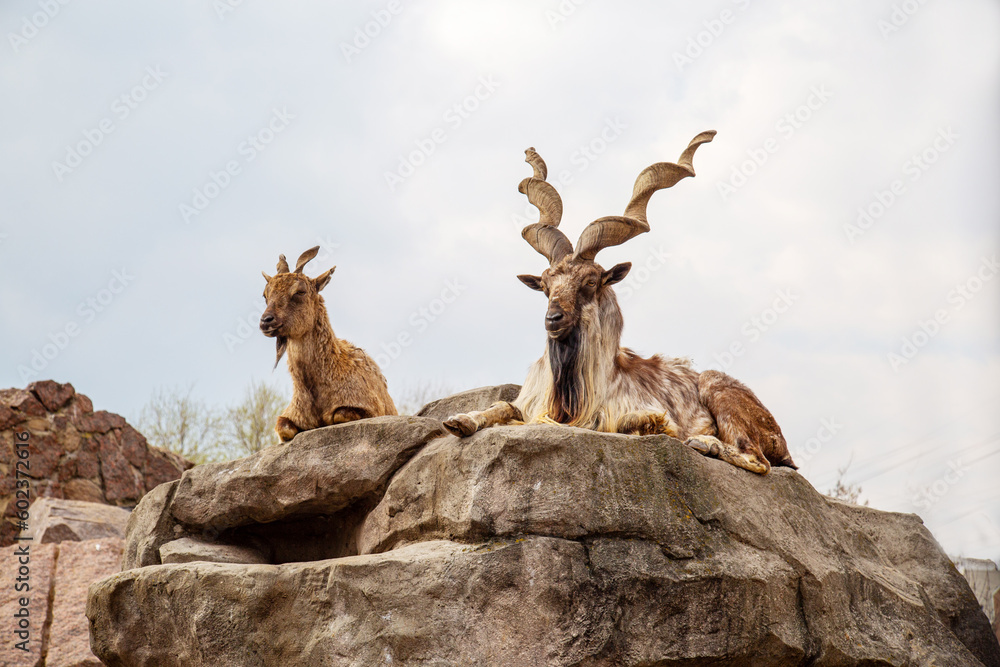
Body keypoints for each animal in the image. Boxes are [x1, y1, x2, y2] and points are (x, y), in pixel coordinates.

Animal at [259, 246, 397, 442]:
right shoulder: (290, 414)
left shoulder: (369, 408)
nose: (266, 321)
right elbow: (284, 427)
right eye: (265, 294)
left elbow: (339, 414)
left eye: (299, 291)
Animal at [443, 133, 797, 474]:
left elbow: (627, 421)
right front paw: (459, 421)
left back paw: (705, 443)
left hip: (719, 391)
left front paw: (655, 427)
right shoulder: (530, 402)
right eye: (544, 285)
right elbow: (500, 406)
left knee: (758, 461)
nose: (553, 319)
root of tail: (779, 437)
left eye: (590, 281)